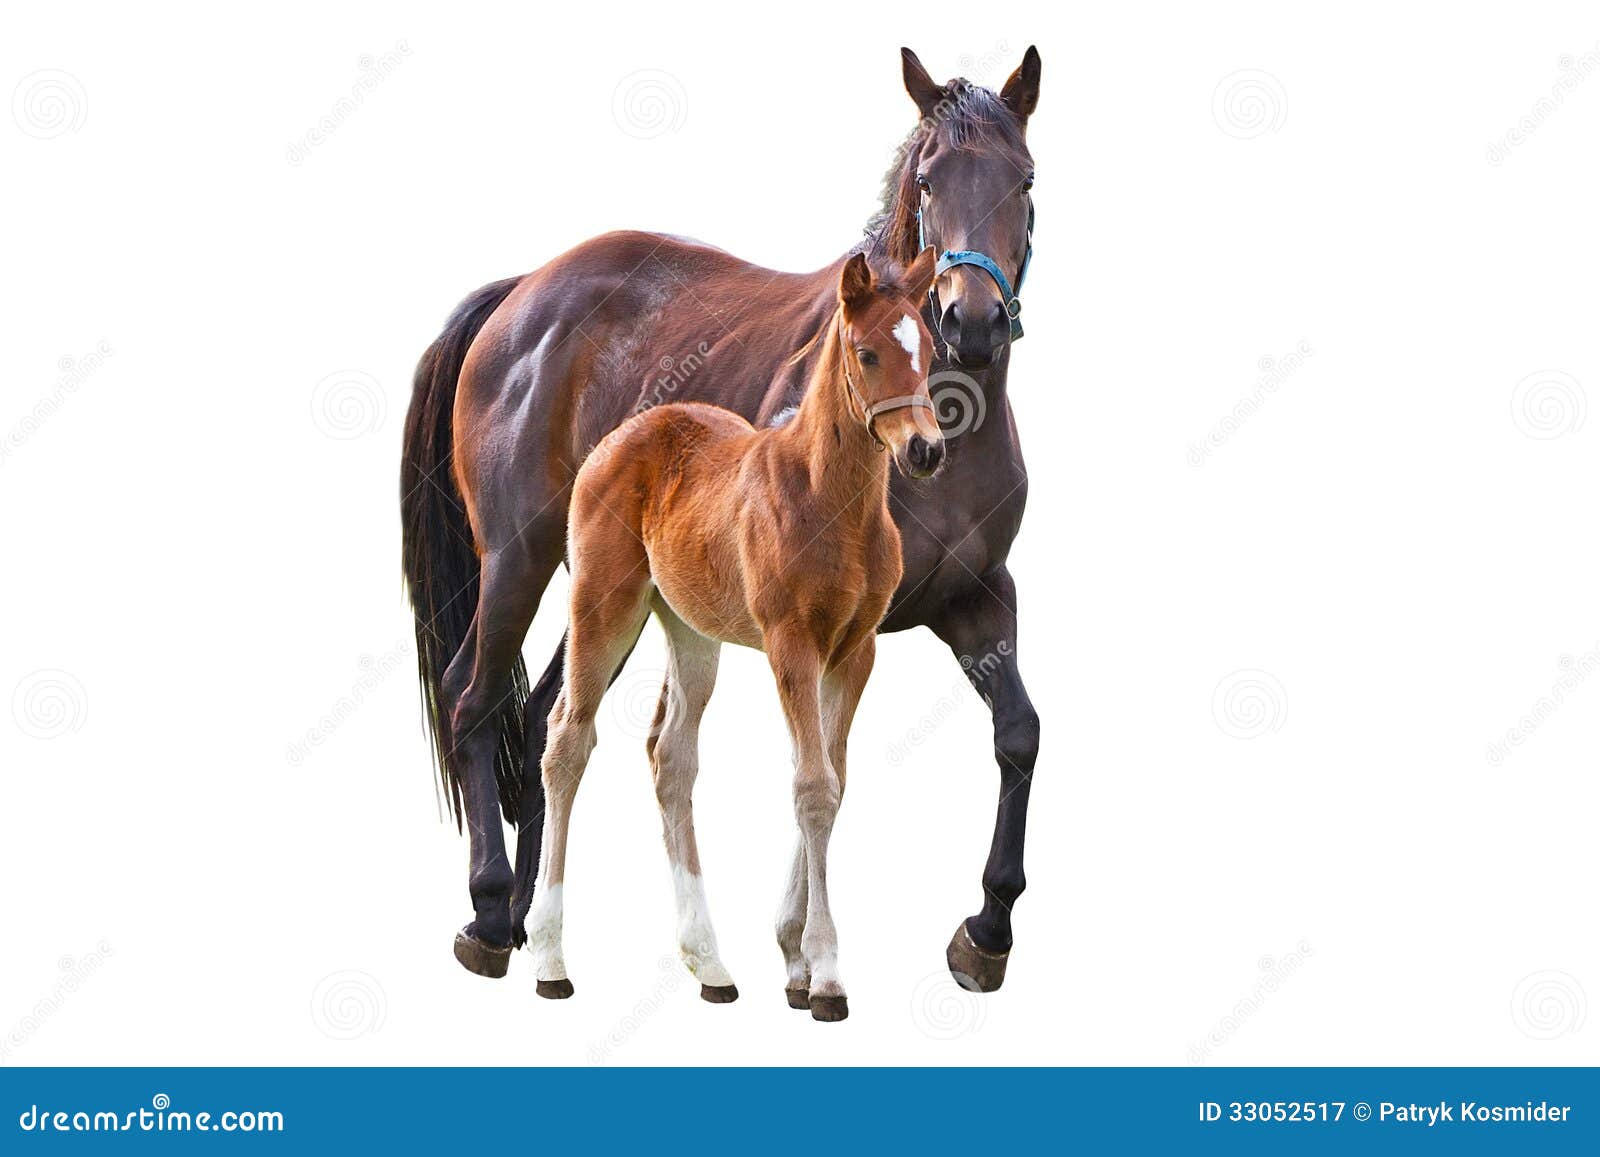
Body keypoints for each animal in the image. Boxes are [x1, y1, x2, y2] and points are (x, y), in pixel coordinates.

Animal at [528, 249, 941, 1020]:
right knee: (568, 740)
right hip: (601, 603)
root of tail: (618, 437)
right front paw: (826, 974)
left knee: (671, 758)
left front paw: (795, 962)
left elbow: (836, 780)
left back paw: (710, 963)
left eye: (929, 351)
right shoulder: (792, 644)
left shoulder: (856, 650)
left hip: (691, 631)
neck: (833, 505)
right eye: (867, 353)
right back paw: (548, 958)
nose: (926, 450)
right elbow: (812, 786)